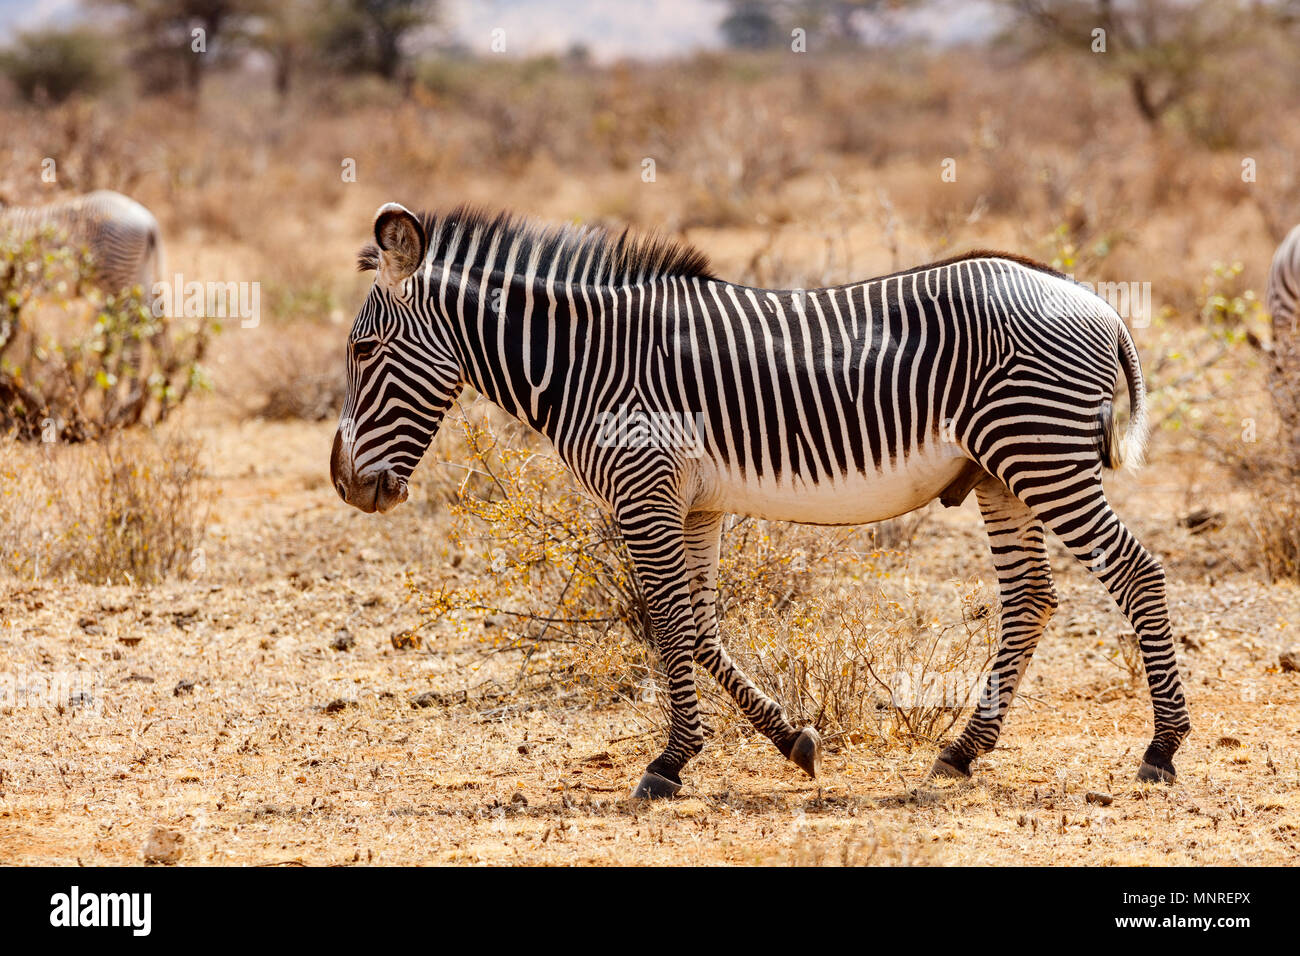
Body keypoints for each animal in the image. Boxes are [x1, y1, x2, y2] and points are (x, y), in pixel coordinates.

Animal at [331, 203, 1190, 798]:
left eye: (362, 349)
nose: (346, 485)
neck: (587, 363)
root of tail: (1097, 302)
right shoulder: (694, 503)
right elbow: (698, 625)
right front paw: (789, 739)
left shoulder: (644, 491)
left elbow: (667, 621)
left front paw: (669, 763)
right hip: (1000, 472)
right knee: (1031, 598)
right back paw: (962, 750)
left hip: (1040, 454)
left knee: (1137, 574)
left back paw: (1162, 749)